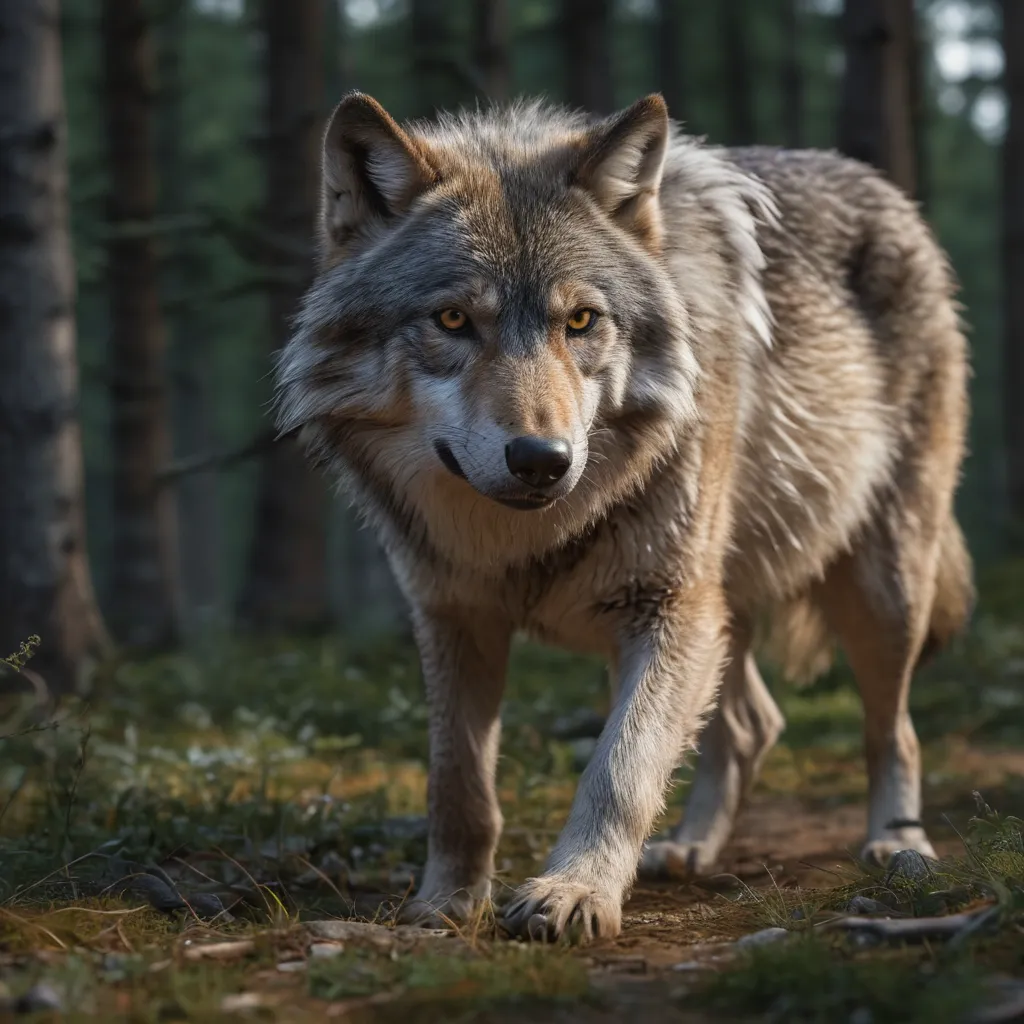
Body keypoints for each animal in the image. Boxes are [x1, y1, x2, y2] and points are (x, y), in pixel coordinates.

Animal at [274, 91, 974, 942]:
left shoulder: (668, 610)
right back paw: (689, 848)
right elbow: (458, 782)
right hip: (716, 607)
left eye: (580, 321)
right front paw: (445, 904)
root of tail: (890, 194)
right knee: (753, 724)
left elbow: (620, 765)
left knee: (893, 729)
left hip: (876, 592)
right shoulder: (452, 615)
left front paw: (573, 891)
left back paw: (897, 846)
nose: (541, 458)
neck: (524, 541)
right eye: (452, 321)